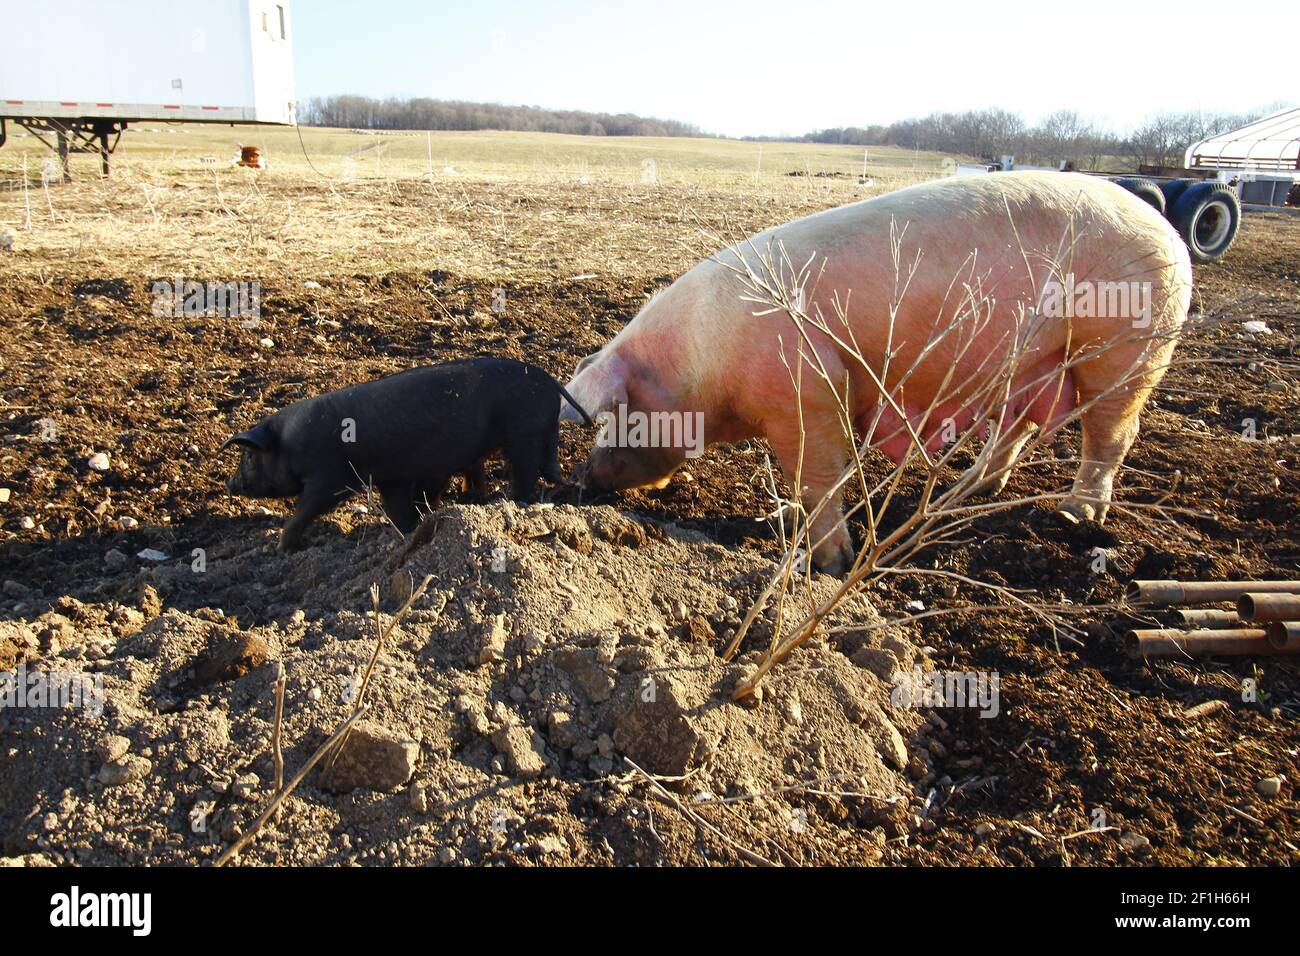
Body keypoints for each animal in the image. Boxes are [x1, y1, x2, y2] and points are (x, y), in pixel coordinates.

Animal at [223, 357, 591, 551]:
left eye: (250, 457)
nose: (229, 483)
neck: (290, 441)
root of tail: (550, 381)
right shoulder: (392, 478)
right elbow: (398, 507)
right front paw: (408, 532)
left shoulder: (329, 476)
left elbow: (306, 508)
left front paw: (281, 546)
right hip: (540, 433)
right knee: (547, 468)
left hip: (523, 434)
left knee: (524, 473)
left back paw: (512, 502)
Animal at [563, 172, 1193, 574]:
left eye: (614, 418)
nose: (585, 480)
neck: (697, 362)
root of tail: (1166, 229)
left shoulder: (811, 393)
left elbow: (817, 480)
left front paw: (832, 565)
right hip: (1032, 366)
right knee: (1018, 428)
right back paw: (971, 489)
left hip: (1128, 351)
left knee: (1112, 435)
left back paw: (1074, 515)